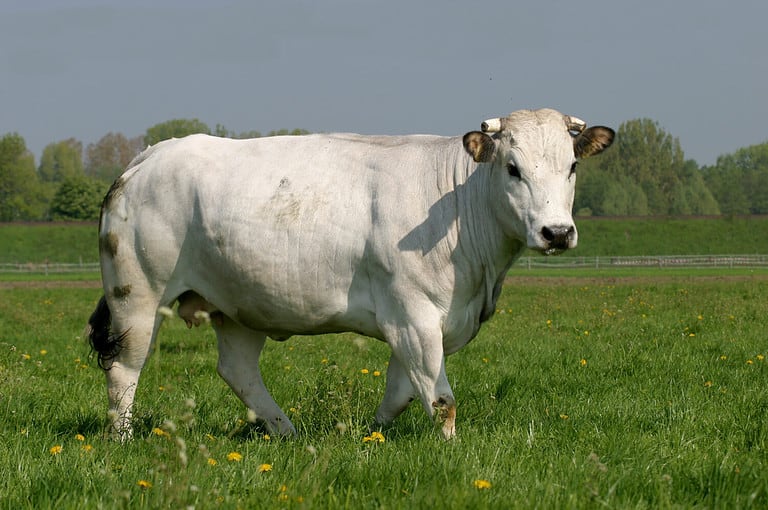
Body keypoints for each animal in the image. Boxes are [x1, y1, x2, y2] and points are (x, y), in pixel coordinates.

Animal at [86, 108, 614, 440]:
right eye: (512, 168)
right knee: (124, 369)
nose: (557, 232)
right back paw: (122, 438)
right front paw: (451, 449)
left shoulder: (416, 322)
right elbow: (440, 397)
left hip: (238, 304)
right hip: (136, 294)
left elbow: (403, 391)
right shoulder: (413, 314)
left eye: (571, 166)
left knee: (238, 370)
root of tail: (149, 155)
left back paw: (286, 432)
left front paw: (372, 434)